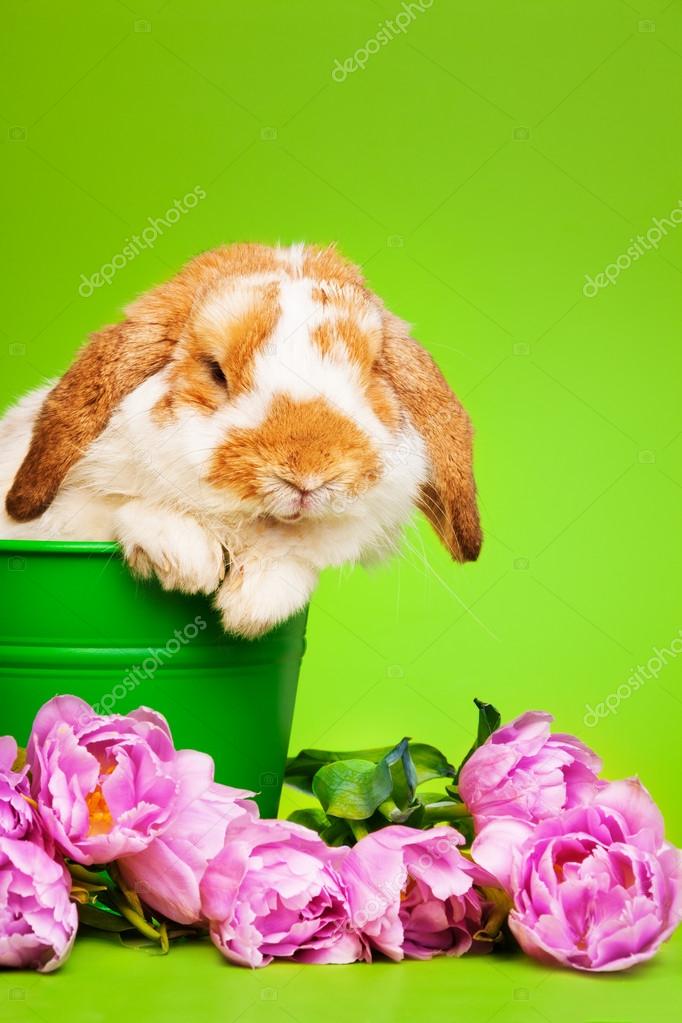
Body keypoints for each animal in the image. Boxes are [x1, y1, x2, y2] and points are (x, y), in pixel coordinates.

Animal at [1, 243, 482, 638]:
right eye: (216, 371)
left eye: (373, 372)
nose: (307, 475)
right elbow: (117, 505)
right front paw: (189, 563)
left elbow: (292, 556)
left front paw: (251, 607)